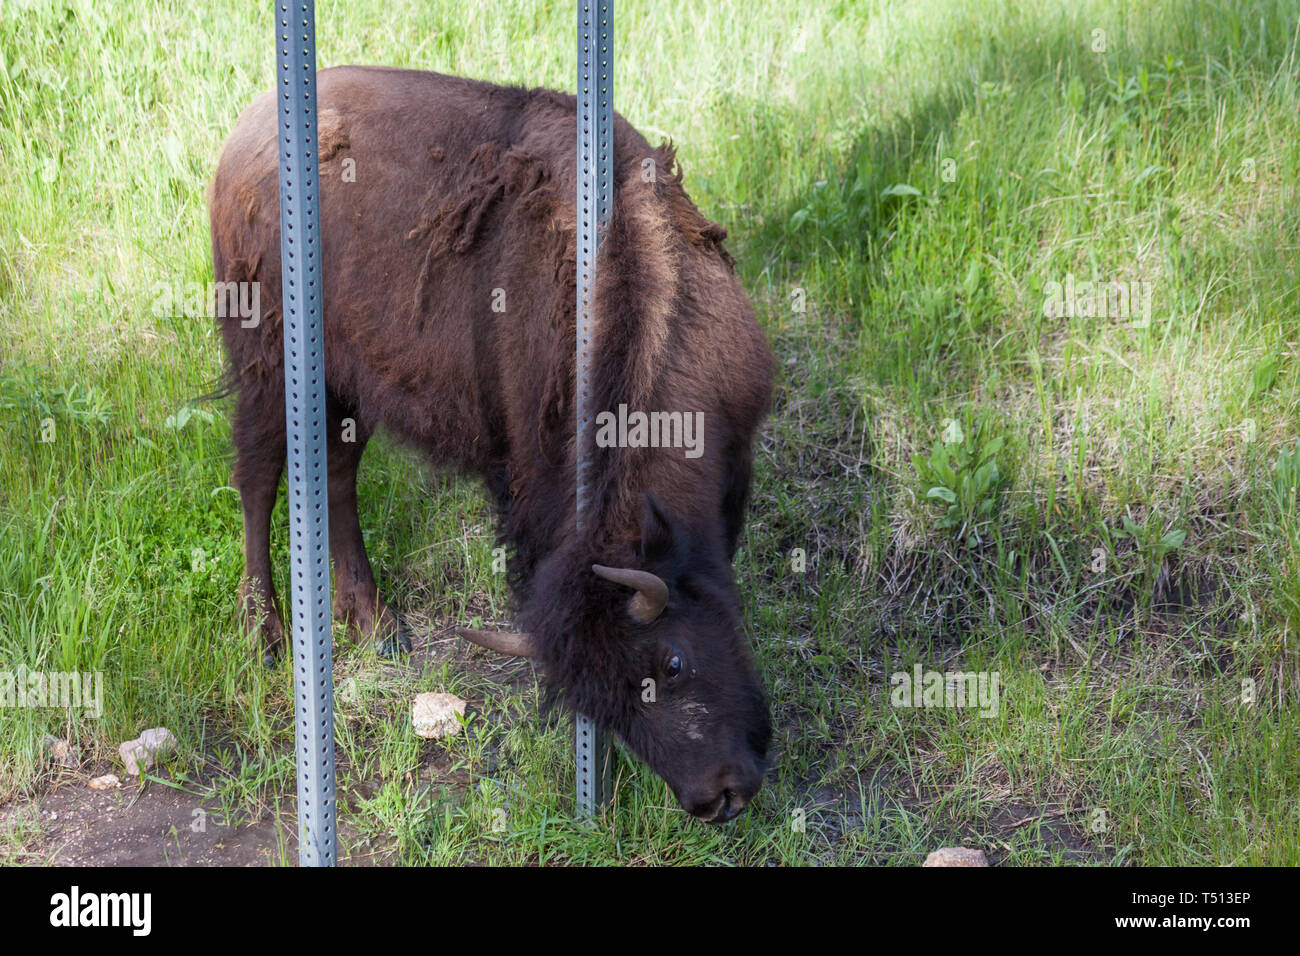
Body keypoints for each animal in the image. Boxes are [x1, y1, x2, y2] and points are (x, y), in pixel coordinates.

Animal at [208, 66, 774, 821]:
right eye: (610, 696)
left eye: (672, 664)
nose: (716, 798)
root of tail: (241, 138)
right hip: (266, 365)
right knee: (258, 478)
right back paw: (266, 636)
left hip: (347, 386)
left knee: (335, 478)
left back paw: (378, 627)